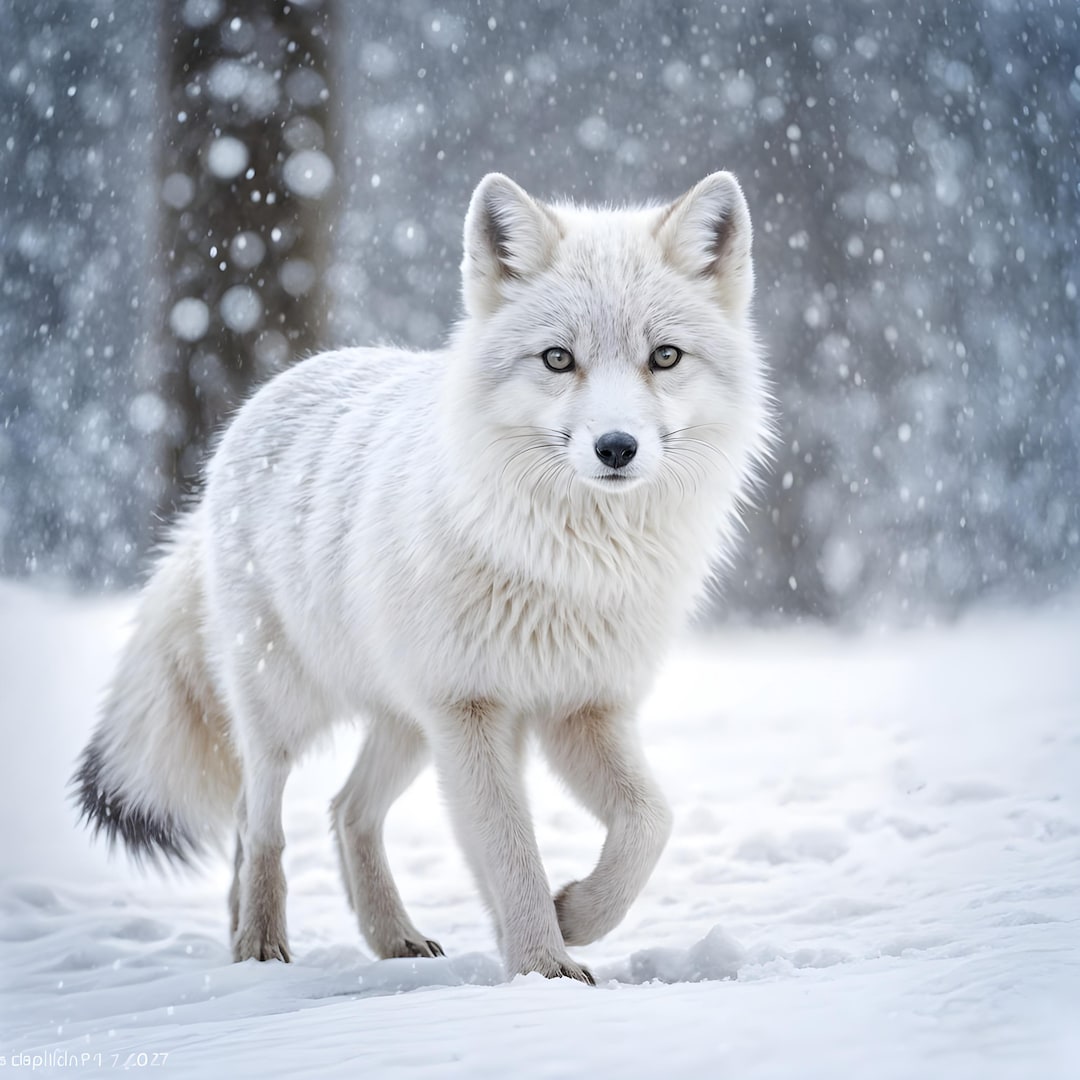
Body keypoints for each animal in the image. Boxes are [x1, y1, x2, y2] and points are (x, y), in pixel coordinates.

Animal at [73, 171, 771, 983]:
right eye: (557, 359)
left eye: (664, 357)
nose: (617, 447)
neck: (568, 563)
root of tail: (261, 400)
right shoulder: (469, 709)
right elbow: (513, 853)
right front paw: (546, 964)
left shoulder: (581, 708)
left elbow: (649, 824)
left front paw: (575, 916)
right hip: (287, 708)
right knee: (260, 820)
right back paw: (260, 941)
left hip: (405, 724)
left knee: (344, 810)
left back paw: (387, 938)